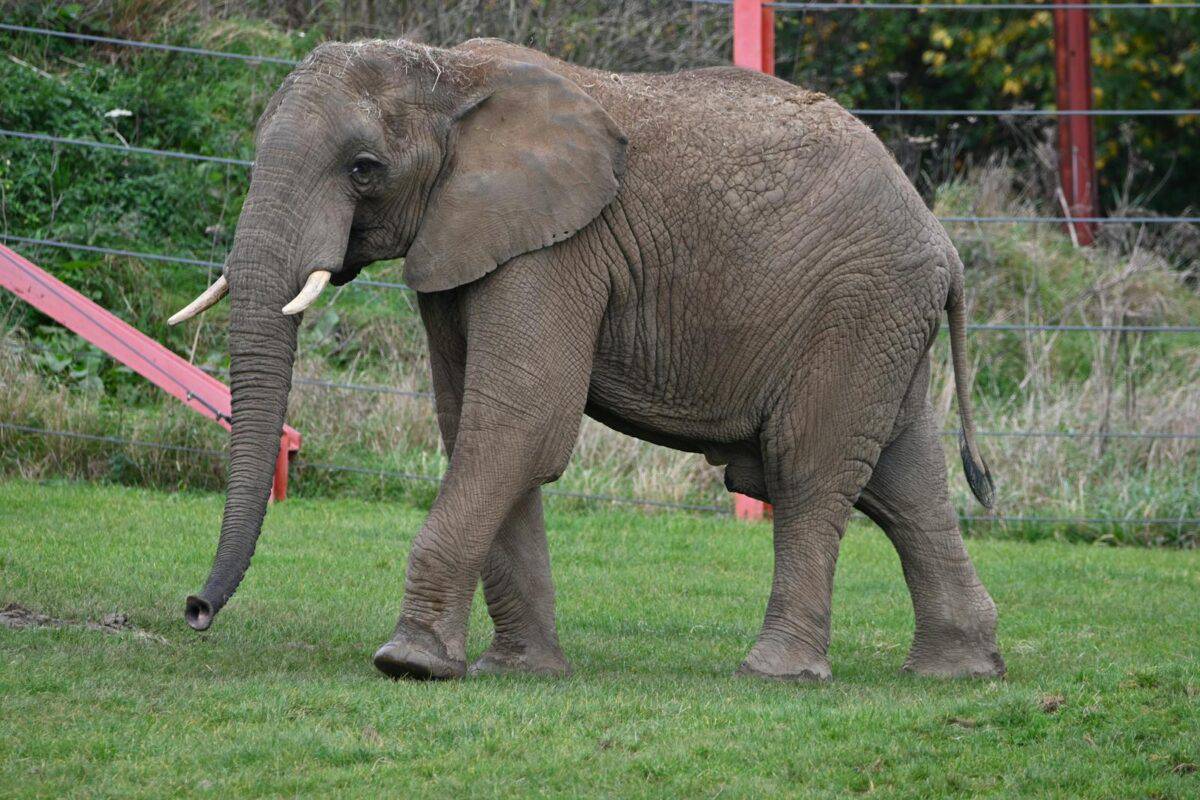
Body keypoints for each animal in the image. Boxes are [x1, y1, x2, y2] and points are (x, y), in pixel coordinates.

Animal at [170, 36, 1005, 682]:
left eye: (363, 168)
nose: (196, 610)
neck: (449, 75)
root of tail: (944, 244)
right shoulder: (464, 239)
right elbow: (474, 423)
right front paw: (517, 671)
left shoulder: (560, 249)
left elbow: (520, 422)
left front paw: (408, 663)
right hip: (882, 319)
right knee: (902, 479)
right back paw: (960, 672)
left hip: (859, 302)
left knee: (810, 468)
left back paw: (777, 673)